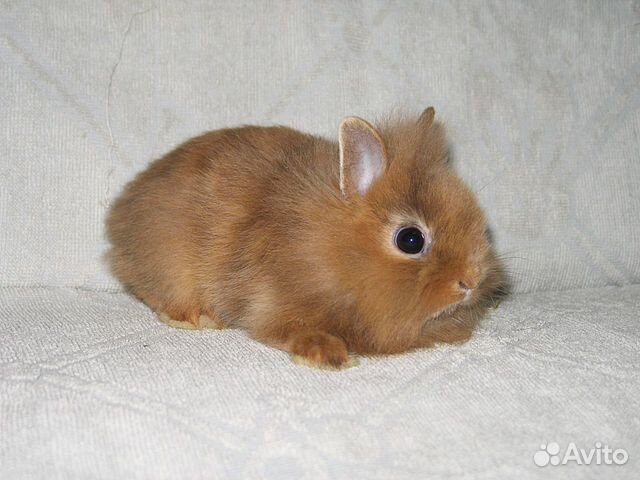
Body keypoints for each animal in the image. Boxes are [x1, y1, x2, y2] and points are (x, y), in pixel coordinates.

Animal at [106, 107, 504, 369]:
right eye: (410, 240)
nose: (471, 280)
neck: (338, 249)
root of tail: (118, 220)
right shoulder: (274, 301)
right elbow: (290, 329)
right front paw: (328, 355)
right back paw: (195, 317)